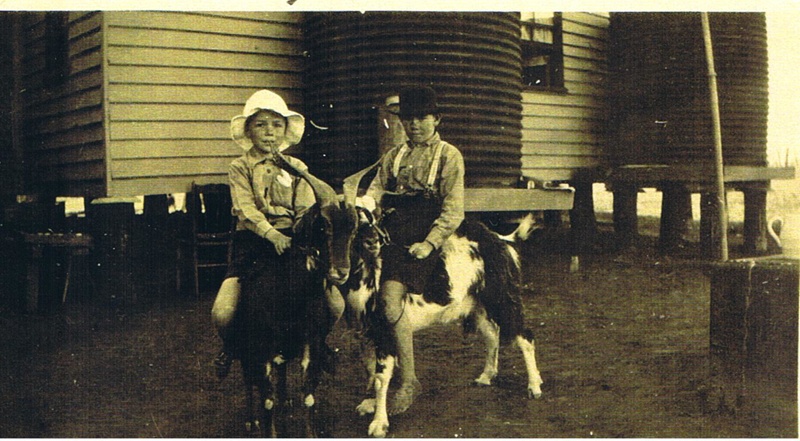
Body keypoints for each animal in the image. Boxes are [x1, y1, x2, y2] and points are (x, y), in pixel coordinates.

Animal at [228, 153, 360, 436]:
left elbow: (308, 396)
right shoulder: (261, 347)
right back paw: (251, 420)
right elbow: (266, 400)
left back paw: (285, 399)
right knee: (249, 380)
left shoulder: (311, 343)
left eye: (353, 229)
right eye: (325, 226)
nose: (341, 272)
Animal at [345, 212, 544, 438]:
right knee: (492, 335)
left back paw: (534, 386)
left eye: (372, 218)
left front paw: (379, 424)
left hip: (503, 299)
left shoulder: (385, 330)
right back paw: (486, 376)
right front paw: (370, 404)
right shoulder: (365, 332)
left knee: (525, 336)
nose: (372, 242)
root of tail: (501, 240)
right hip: (477, 306)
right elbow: (371, 370)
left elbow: (381, 376)